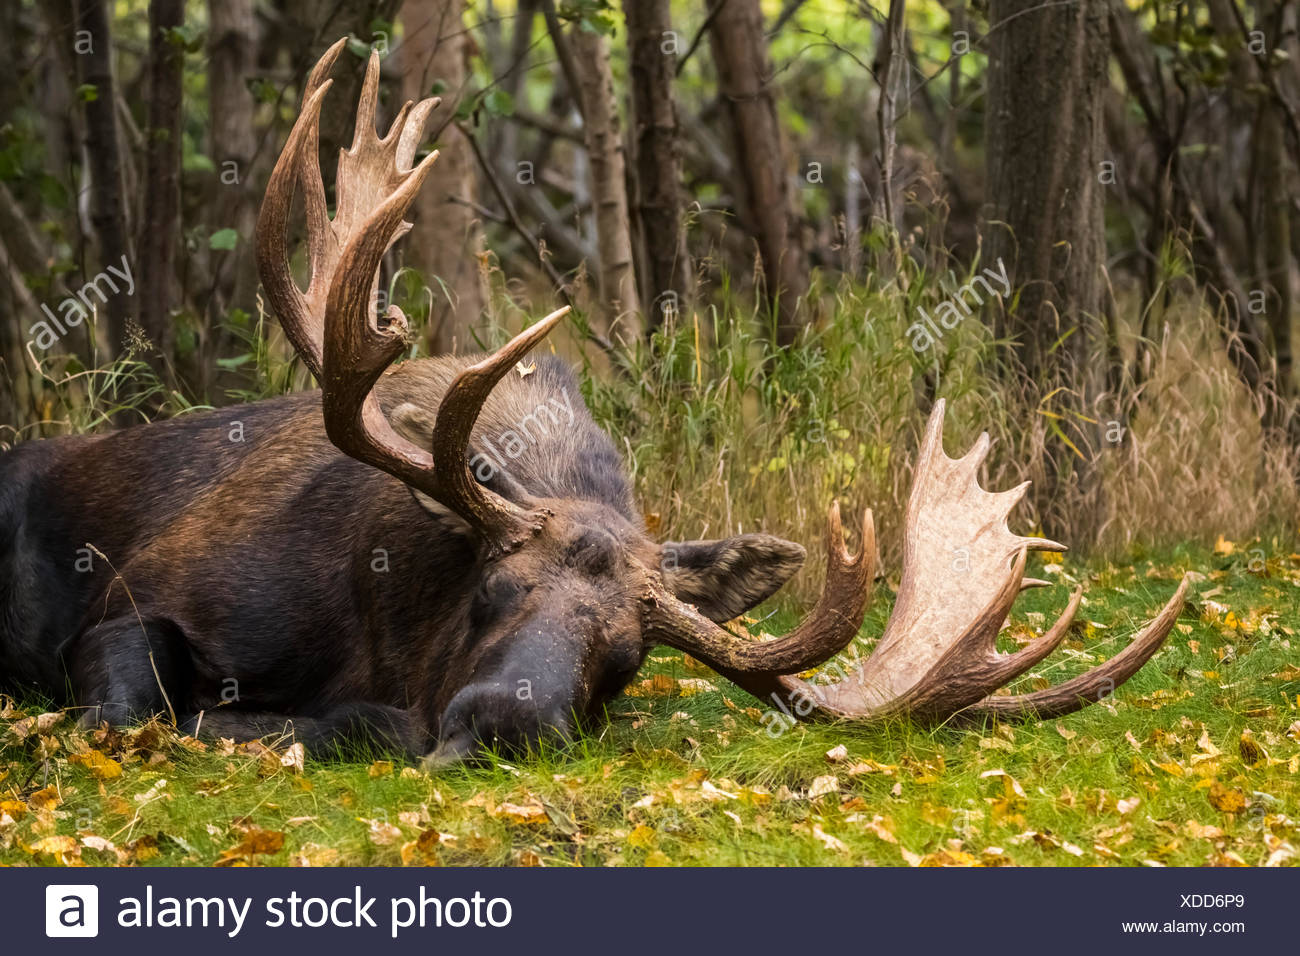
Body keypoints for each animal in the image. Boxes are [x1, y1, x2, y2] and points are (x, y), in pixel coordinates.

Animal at [0, 40, 1188, 766]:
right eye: (491, 589)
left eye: (624, 663)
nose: (501, 726)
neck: (380, 619)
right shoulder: (141, 601)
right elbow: (139, 709)